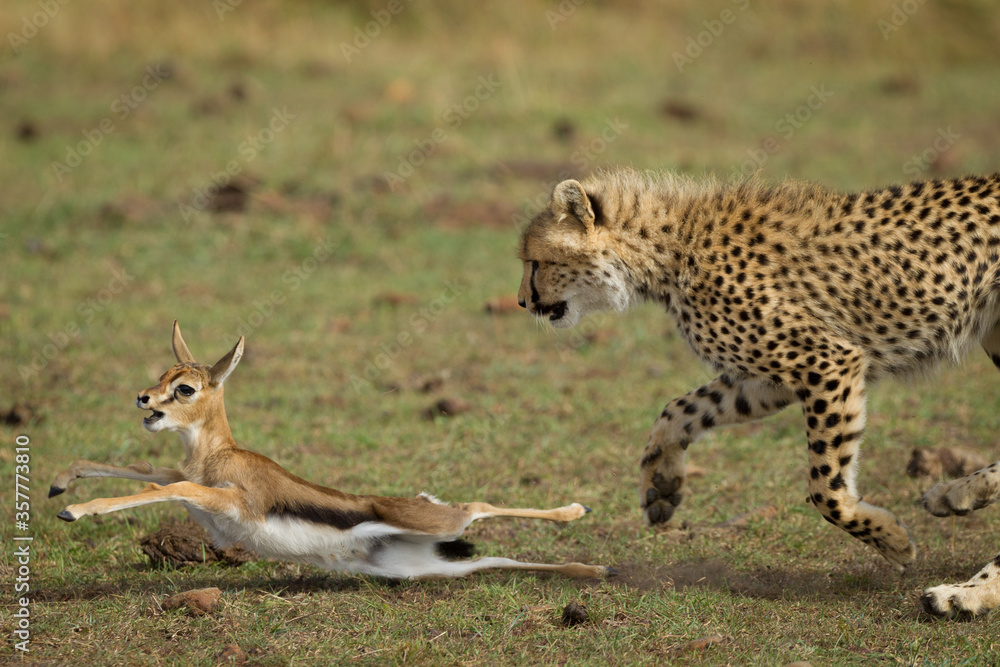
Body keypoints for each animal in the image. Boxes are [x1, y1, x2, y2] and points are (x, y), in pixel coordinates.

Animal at [516, 167, 1000, 618]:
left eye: (535, 262)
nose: (522, 302)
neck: (667, 251)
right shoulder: (767, 380)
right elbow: (678, 409)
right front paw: (661, 483)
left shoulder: (829, 361)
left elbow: (826, 489)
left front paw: (892, 539)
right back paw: (959, 494)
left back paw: (965, 592)